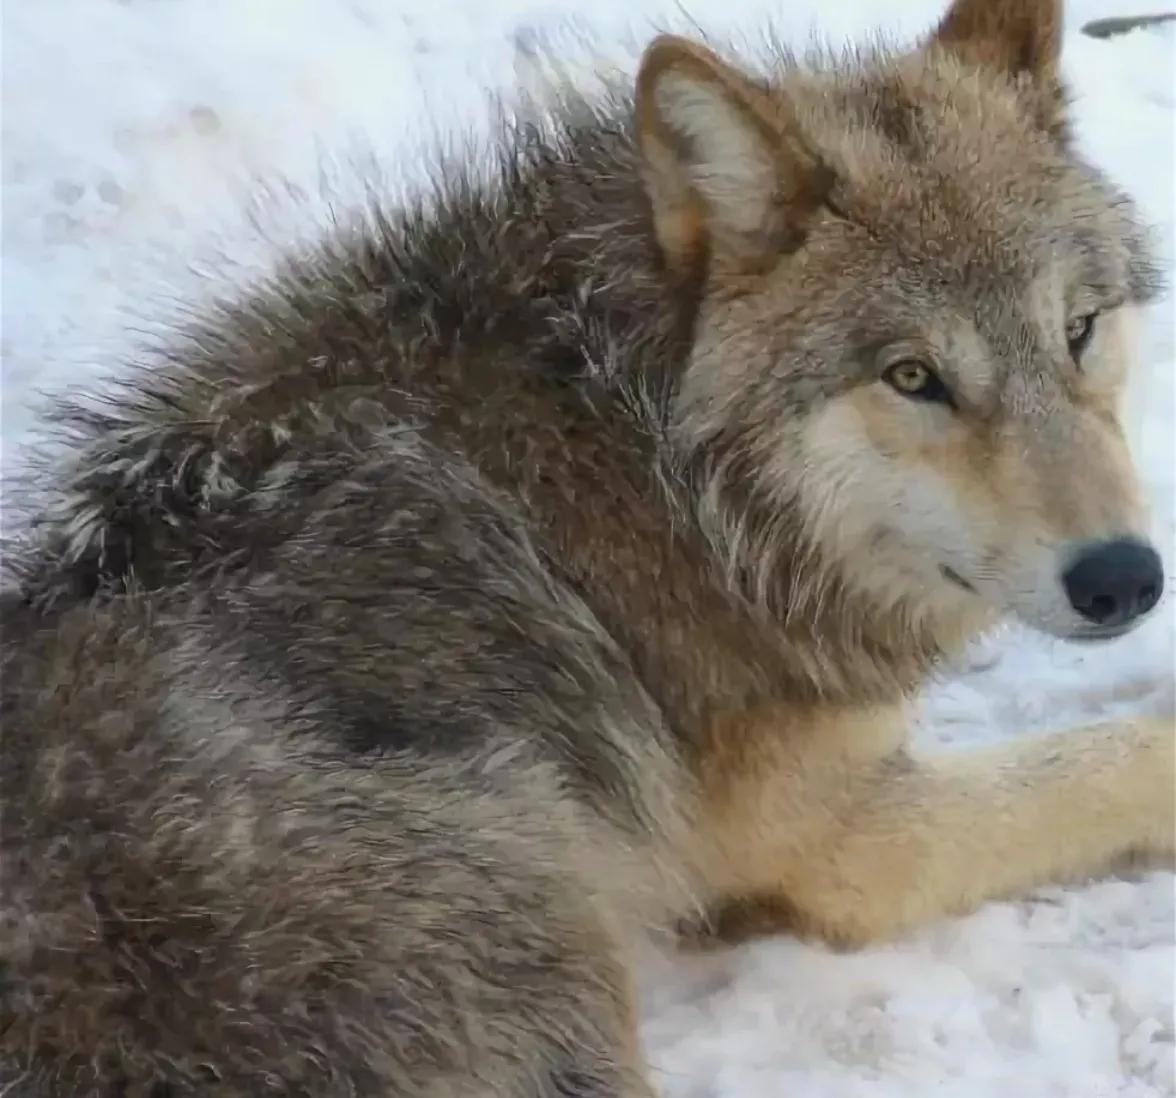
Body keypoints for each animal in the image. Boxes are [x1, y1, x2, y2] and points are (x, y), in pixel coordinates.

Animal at [2, 0, 1173, 1093]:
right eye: (915, 377)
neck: (662, 461)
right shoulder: (851, 842)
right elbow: (1130, 752)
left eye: (1078, 330)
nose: (1125, 579)